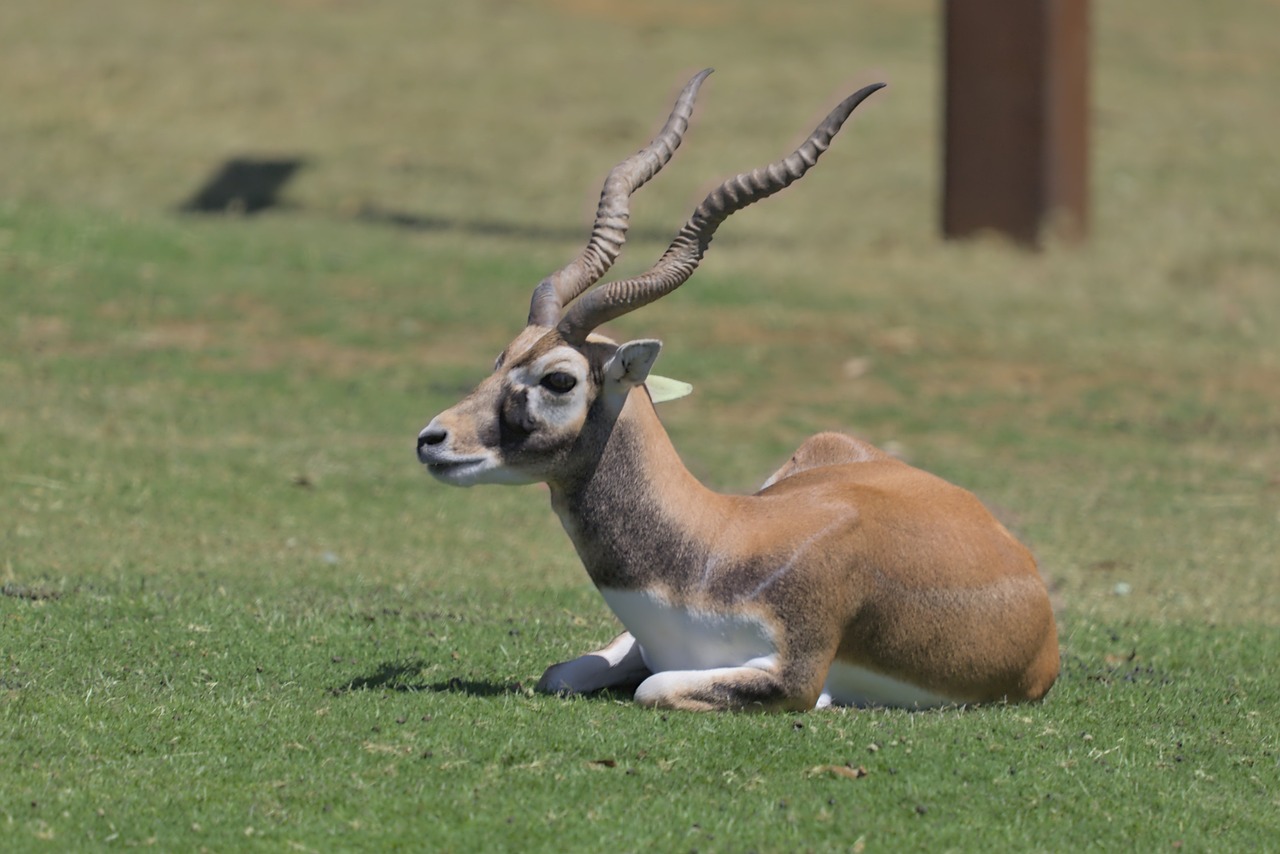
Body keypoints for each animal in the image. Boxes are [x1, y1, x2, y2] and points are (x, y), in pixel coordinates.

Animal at [417, 70, 1059, 711]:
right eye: (501, 358)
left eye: (558, 378)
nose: (432, 438)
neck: (711, 548)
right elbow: (561, 673)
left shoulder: (792, 675)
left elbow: (653, 688)